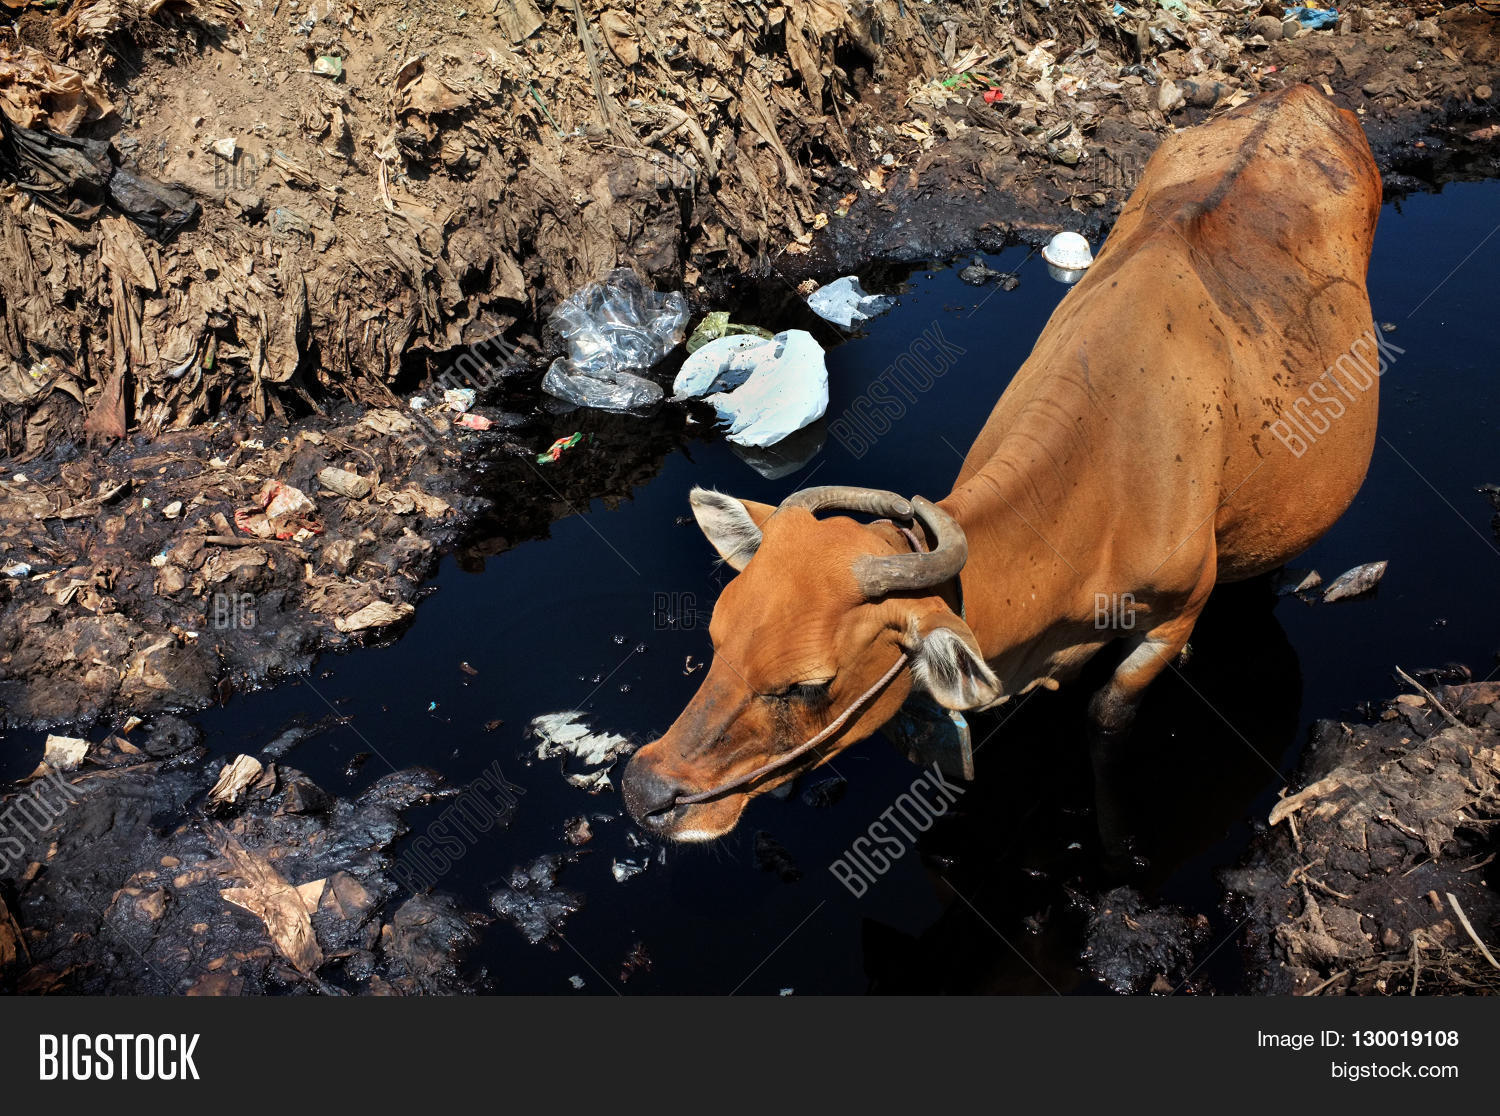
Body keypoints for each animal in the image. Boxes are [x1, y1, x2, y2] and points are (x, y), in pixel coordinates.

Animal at [622, 84, 1384, 843]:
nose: (643, 788)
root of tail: (1299, 93)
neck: (1102, 496)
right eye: (717, 635)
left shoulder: (1175, 615)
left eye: (808, 686)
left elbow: (1108, 718)